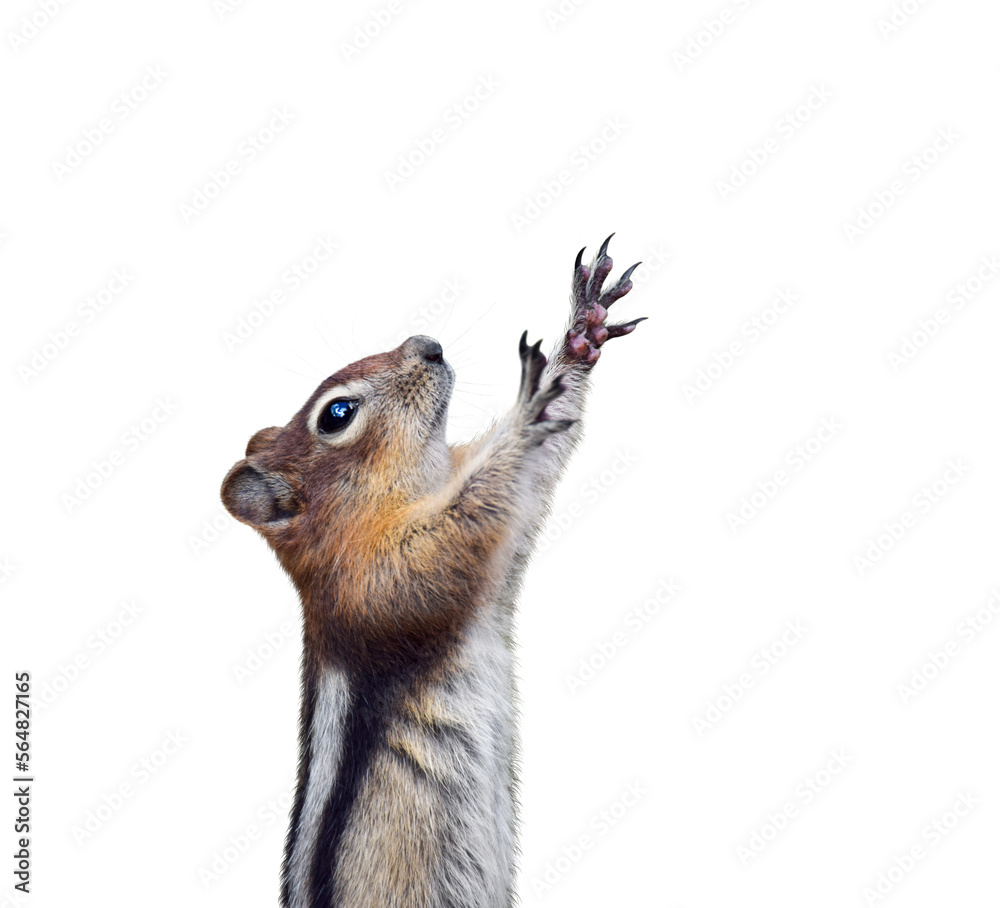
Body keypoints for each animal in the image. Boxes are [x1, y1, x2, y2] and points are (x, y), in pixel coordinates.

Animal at [221, 236, 644, 908]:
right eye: (337, 413)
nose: (428, 344)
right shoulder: (374, 580)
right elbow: (447, 539)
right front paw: (528, 408)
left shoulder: (496, 549)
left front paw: (582, 334)